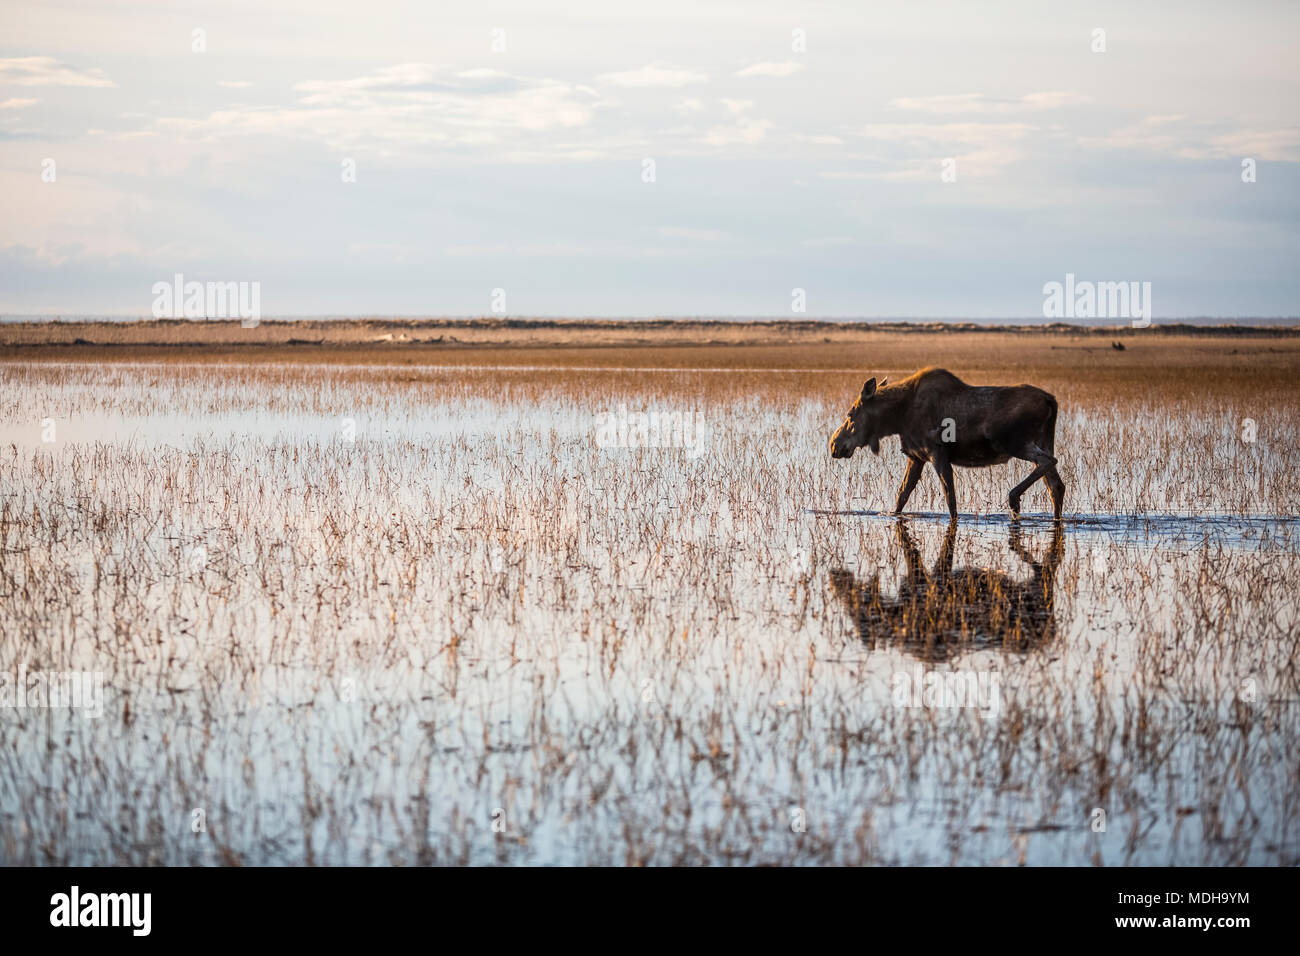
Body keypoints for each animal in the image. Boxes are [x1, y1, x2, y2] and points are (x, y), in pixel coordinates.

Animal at [829, 367, 1065, 521]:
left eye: (851, 413)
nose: (834, 445)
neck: (896, 418)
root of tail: (1051, 400)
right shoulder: (916, 458)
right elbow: (901, 496)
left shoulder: (937, 453)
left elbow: (950, 499)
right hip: (1042, 440)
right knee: (1056, 485)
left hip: (1014, 441)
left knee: (1048, 461)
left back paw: (1014, 498)